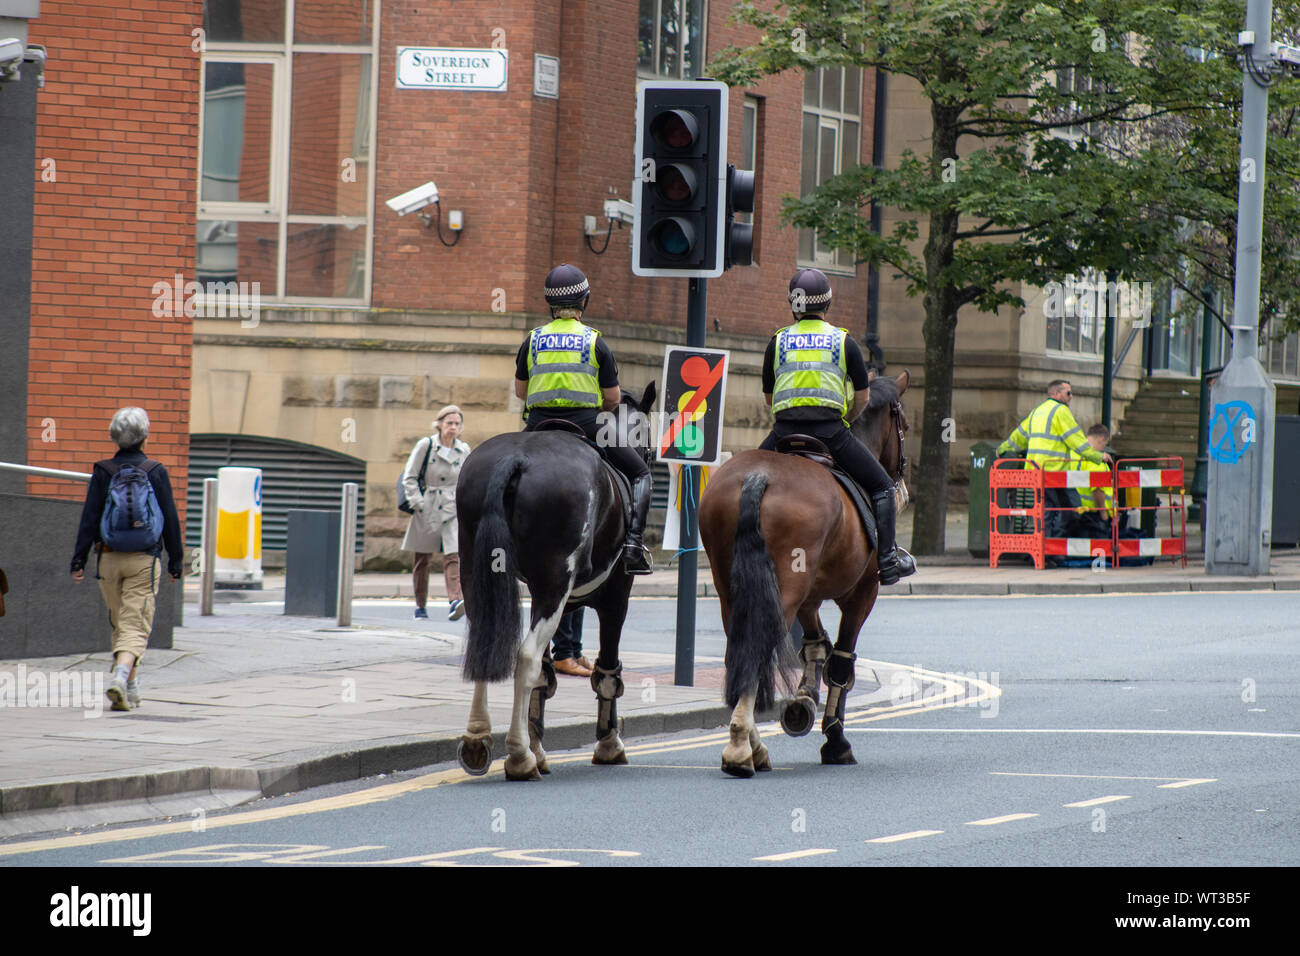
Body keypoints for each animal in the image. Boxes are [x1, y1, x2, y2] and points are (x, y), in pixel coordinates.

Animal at [454, 383, 657, 781]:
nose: (648, 454)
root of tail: (517, 459)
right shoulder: (615, 598)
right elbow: (606, 671)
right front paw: (608, 744)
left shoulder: (548, 597)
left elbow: (545, 679)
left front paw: (538, 744)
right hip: (554, 586)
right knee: (526, 657)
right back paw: (519, 756)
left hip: (477, 571)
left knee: (485, 644)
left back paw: (477, 740)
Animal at [697, 370, 910, 777]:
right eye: (904, 425)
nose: (902, 488)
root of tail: (759, 476)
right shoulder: (862, 593)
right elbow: (841, 659)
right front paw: (835, 739)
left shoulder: (809, 598)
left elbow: (814, 645)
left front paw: (803, 700)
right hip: (786, 590)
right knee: (760, 648)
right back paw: (741, 748)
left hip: (732, 590)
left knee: (741, 650)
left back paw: (748, 743)